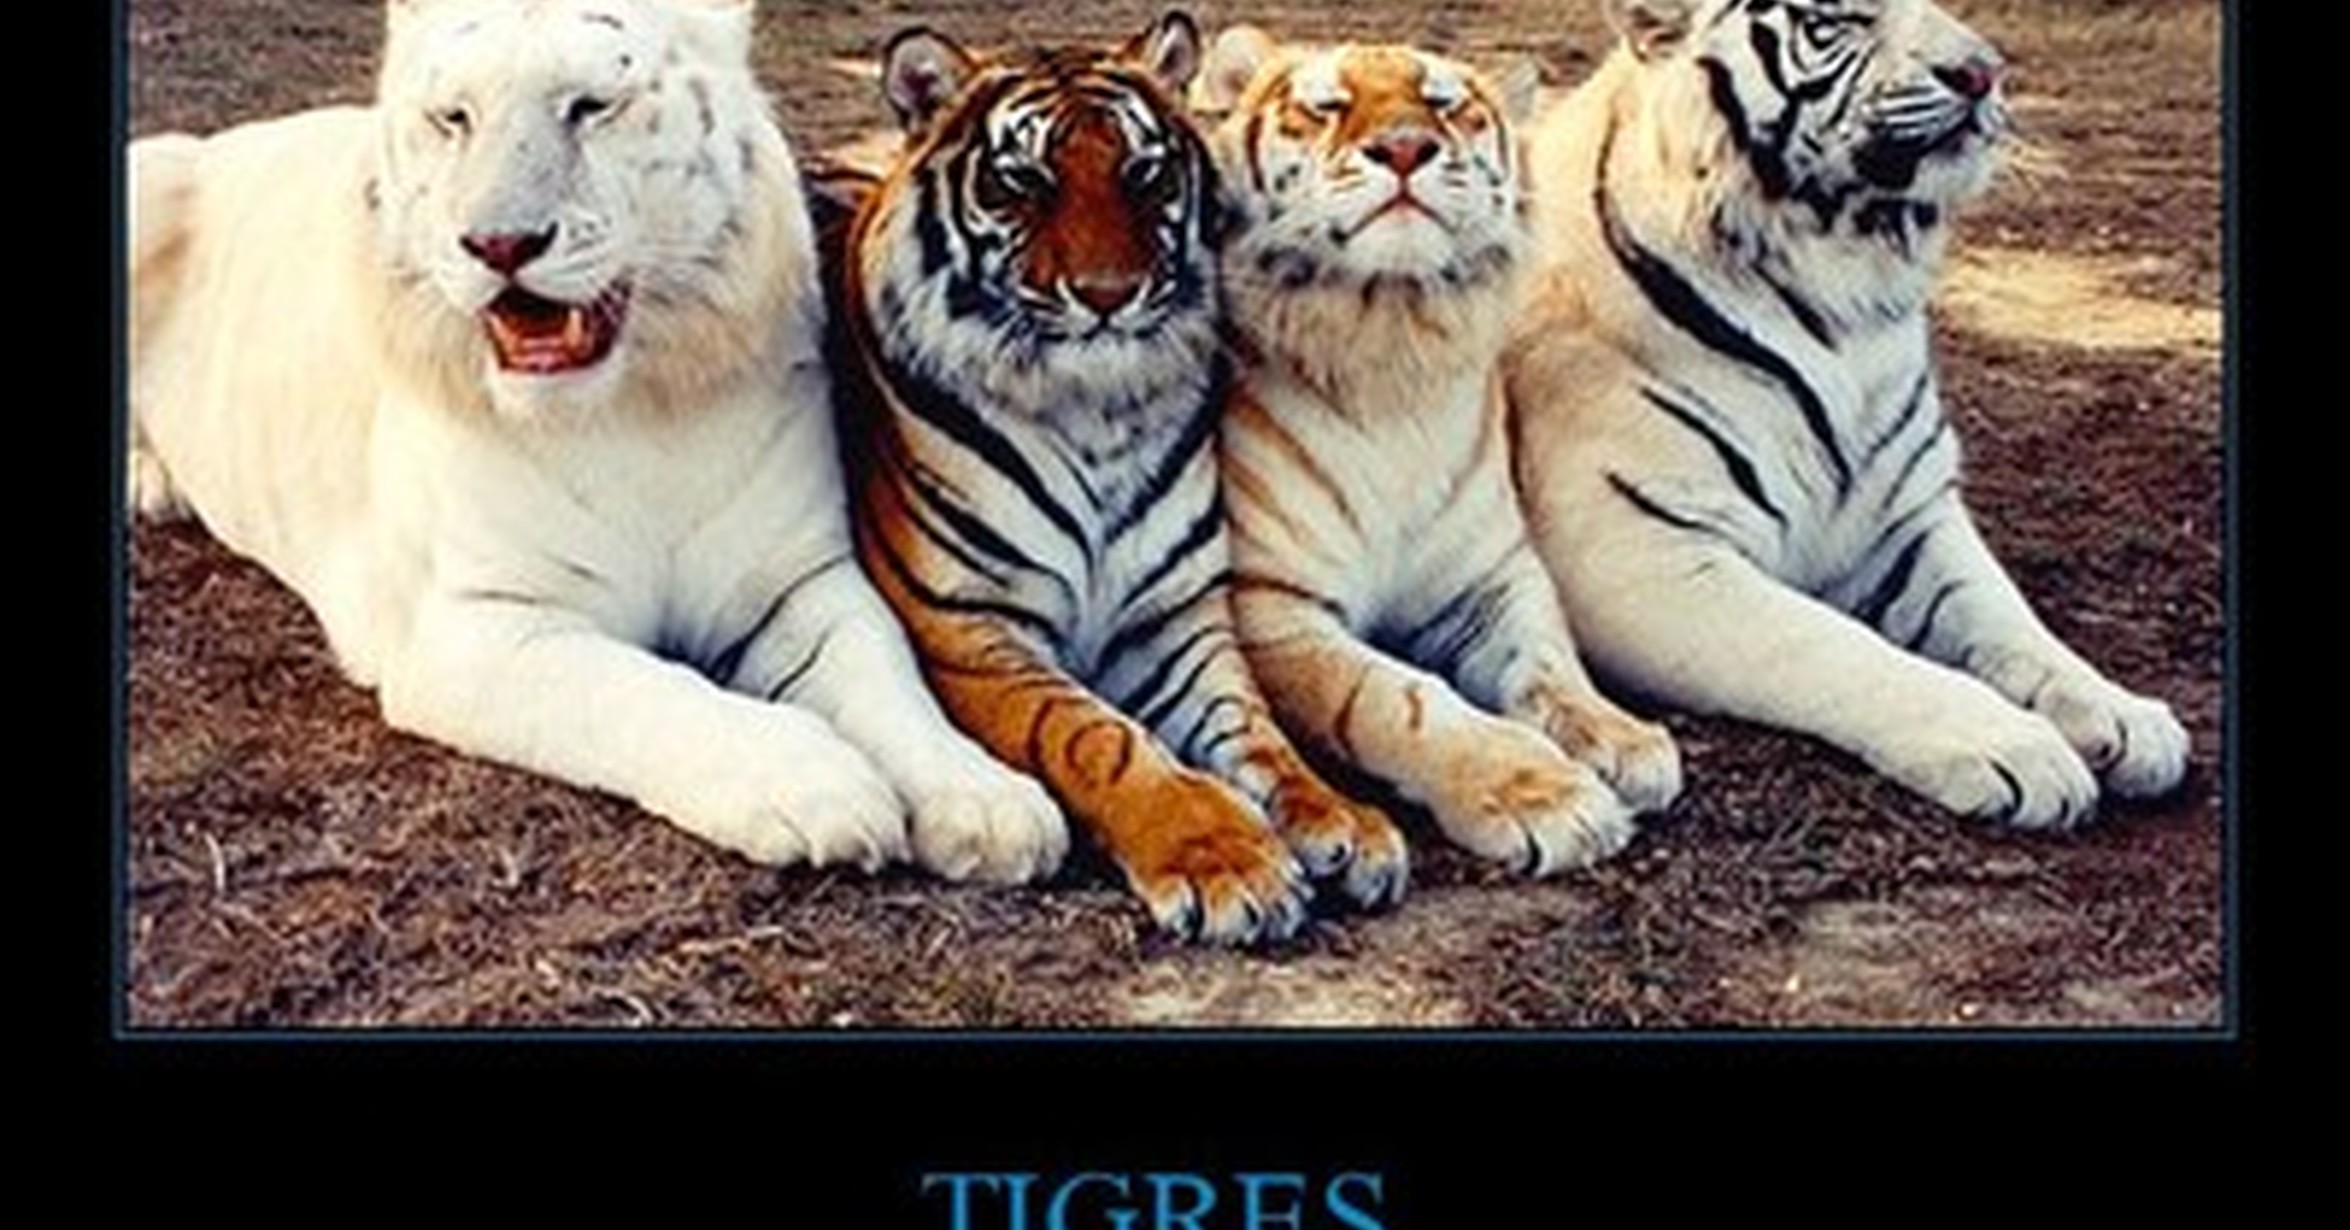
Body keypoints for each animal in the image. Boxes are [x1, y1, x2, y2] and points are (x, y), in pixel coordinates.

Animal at [126, 0, 1066, 882]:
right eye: (454, 118)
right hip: (152, 170)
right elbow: (649, 692)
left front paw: (987, 804)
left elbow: (890, 681)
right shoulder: (484, 626)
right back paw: (150, 484)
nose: (500, 243)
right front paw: (817, 785)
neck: (627, 415)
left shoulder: (800, 583)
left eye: (592, 106)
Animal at [823, 12, 1408, 945]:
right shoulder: (969, 626)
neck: (1094, 411)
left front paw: (1340, 819)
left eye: (1144, 173)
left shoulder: (1175, 618)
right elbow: (1097, 738)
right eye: (1021, 182)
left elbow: (1257, 730)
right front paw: (1223, 857)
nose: (1109, 294)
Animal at [1195, 27, 1683, 879]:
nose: (1404, 147)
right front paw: (1543, 795)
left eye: (1444, 104)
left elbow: (1550, 661)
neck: (1395, 344)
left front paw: (1620, 737)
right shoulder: (1274, 604)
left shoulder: (1495, 576)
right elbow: (1402, 700)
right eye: (1328, 106)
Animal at [1502, 0, 2191, 828]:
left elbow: (2012, 620)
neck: (1846, 293)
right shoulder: (1640, 552)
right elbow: (1839, 648)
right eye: (1844, 19)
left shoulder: (1912, 518)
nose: (1983, 72)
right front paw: (2016, 745)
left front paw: (2125, 714)